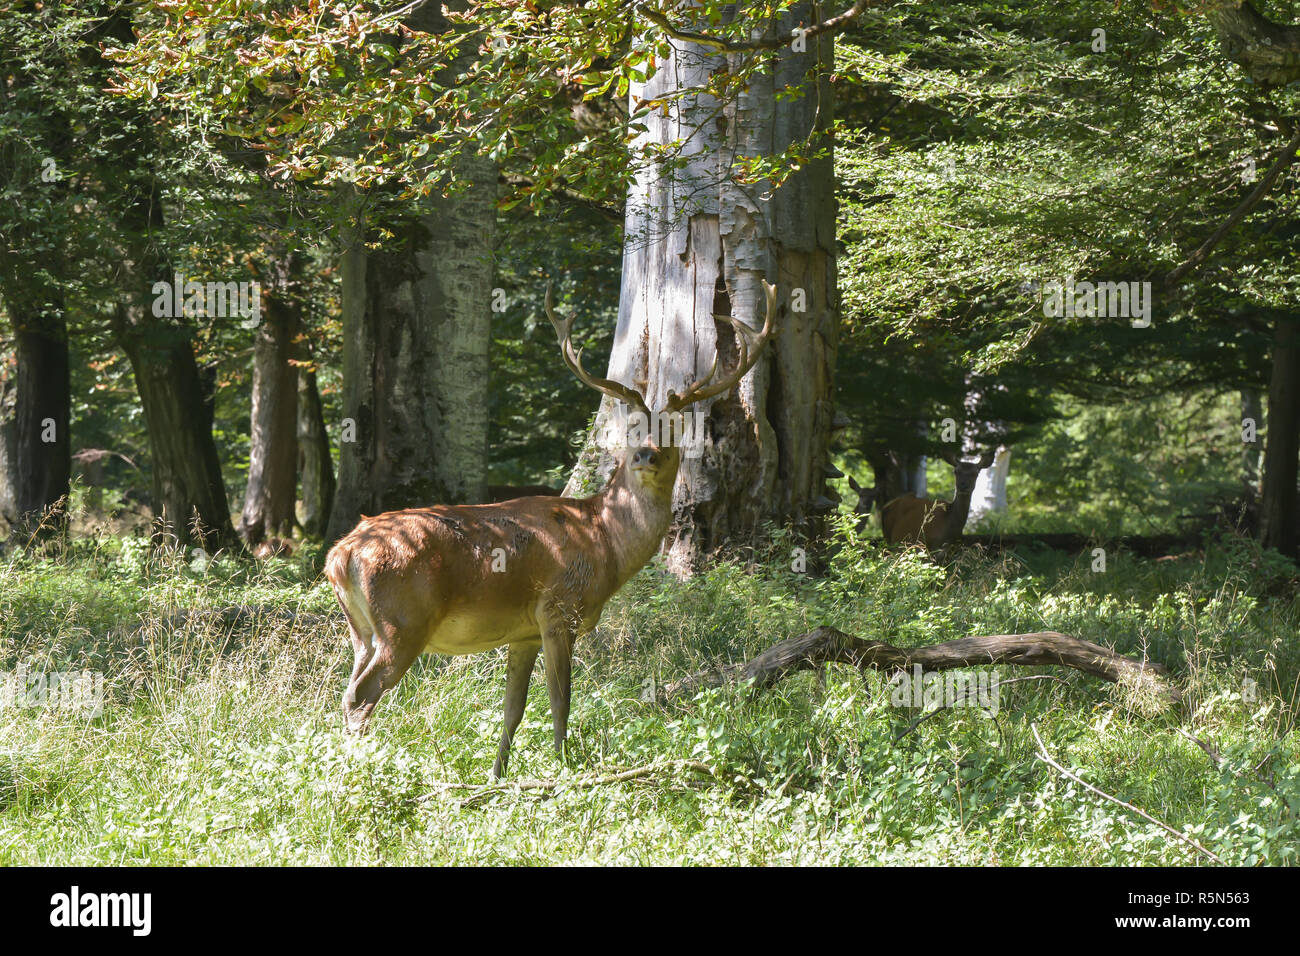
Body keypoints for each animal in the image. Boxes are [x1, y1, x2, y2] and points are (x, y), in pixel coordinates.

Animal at [324, 281, 776, 779]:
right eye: (634, 428)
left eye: (673, 428)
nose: (646, 455)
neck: (603, 542)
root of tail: (341, 555)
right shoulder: (560, 610)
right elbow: (561, 699)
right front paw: (564, 766)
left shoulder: (522, 631)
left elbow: (513, 708)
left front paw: (498, 775)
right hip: (403, 620)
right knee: (361, 696)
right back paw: (357, 773)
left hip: (360, 628)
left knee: (347, 691)